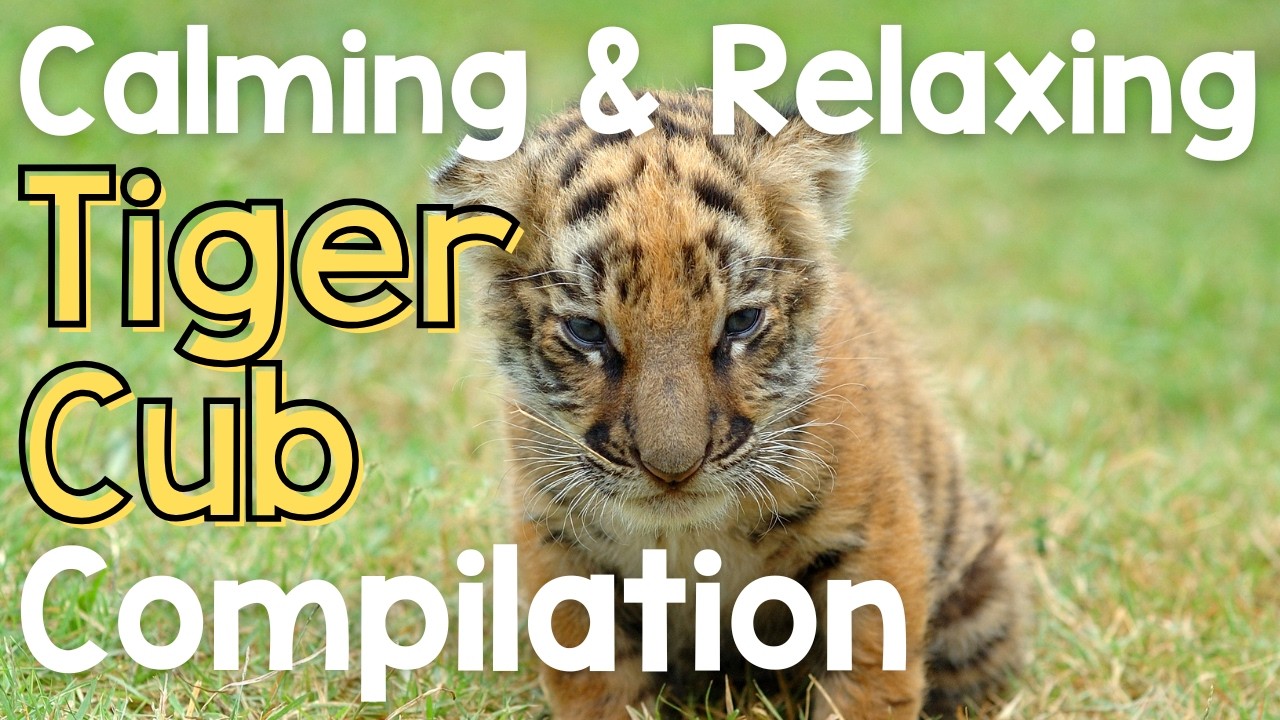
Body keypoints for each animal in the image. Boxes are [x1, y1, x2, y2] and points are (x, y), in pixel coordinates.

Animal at [431, 90, 1028, 719]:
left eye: (741, 322)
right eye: (586, 331)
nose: (673, 471)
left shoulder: (874, 537)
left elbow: (867, 683)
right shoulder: (558, 540)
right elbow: (594, 683)